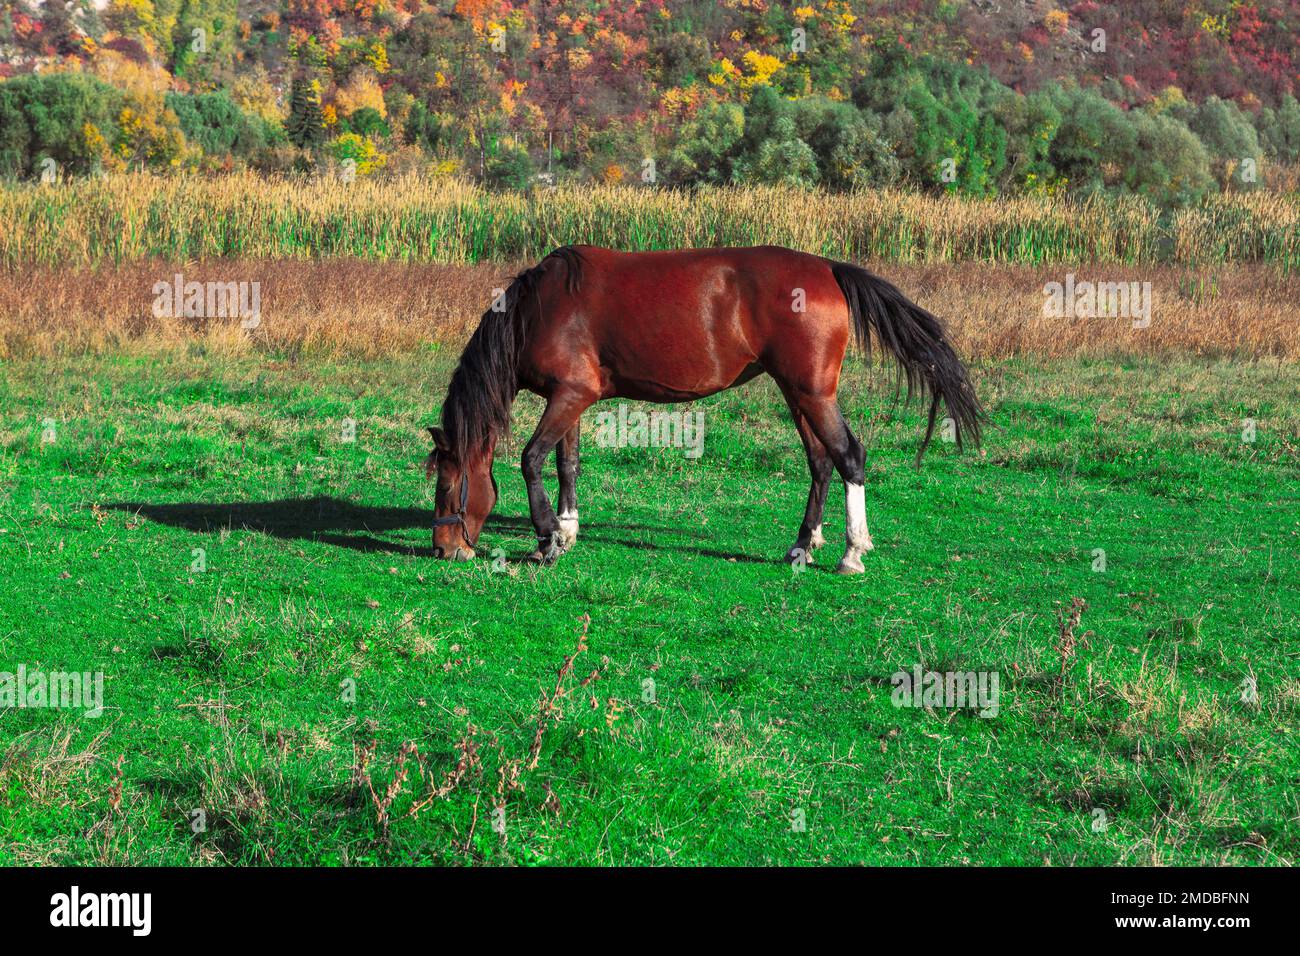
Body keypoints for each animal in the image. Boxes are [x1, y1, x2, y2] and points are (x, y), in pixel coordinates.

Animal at [425, 245, 982, 573]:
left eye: (448, 487)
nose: (444, 549)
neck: (539, 309)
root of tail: (827, 269)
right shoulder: (572, 398)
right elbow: (567, 463)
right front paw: (567, 529)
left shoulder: (570, 396)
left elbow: (532, 459)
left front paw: (546, 540)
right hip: (796, 393)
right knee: (821, 463)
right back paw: (804, 545)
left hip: (812, 393)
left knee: (850, 457)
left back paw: (852, 551)